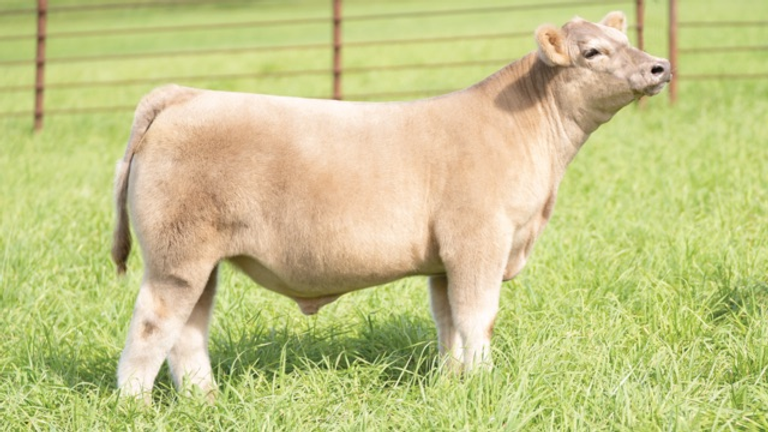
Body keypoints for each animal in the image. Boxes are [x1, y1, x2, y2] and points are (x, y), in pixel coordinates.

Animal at [111, 11, 671, 402]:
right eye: (593, 51)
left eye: (626, 43)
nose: (659, 66)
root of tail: (185, 95)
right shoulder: (479, 241)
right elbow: (478, 316)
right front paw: (483, 382)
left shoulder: (445, 261)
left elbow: (448, 322)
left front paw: (452, 382)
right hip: (176, 258)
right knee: (153, 325)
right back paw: (137, 405)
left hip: (200, 262)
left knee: (189, 331)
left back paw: (207, 400)